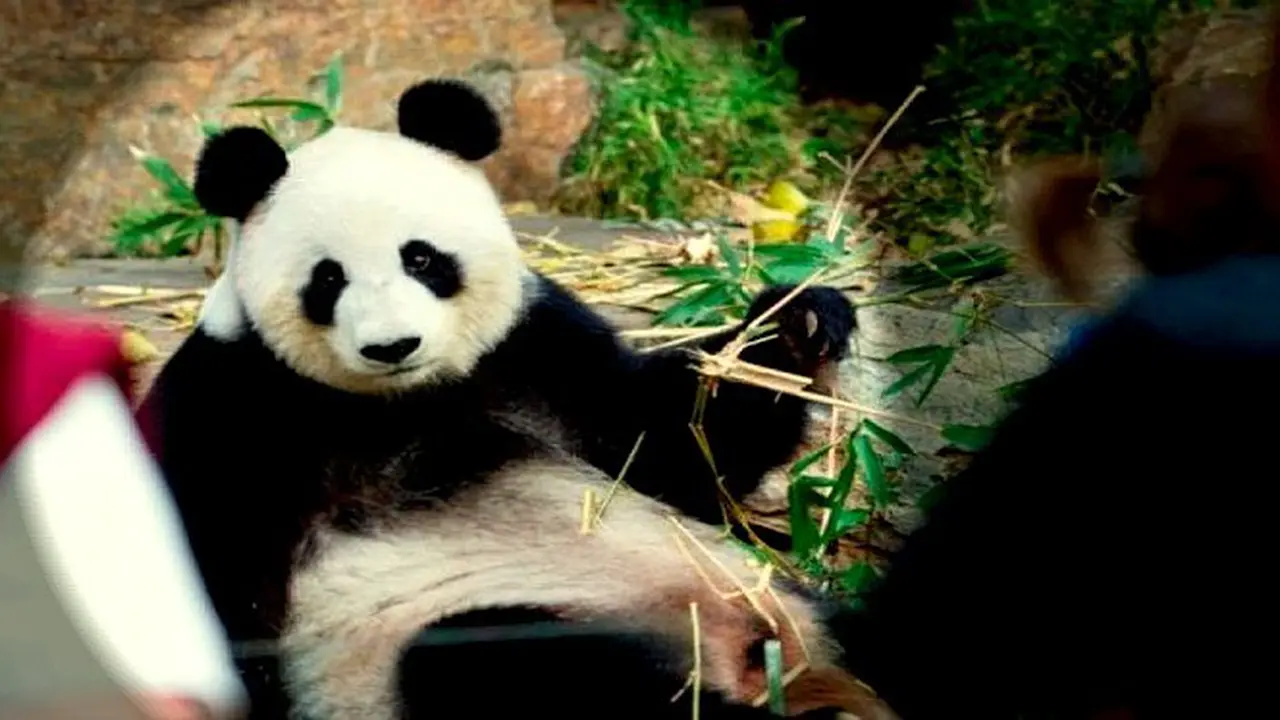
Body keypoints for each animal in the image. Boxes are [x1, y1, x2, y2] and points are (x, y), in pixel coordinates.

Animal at [137, 78, 898, 720]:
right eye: (328, 279)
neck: (400, 401)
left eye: (421, 258)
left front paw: (798, 323)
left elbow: (664, 442)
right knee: (509, 665)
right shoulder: (234, 404)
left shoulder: (531, 349)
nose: (393, 345)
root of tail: (780, 670)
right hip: (443, 636)